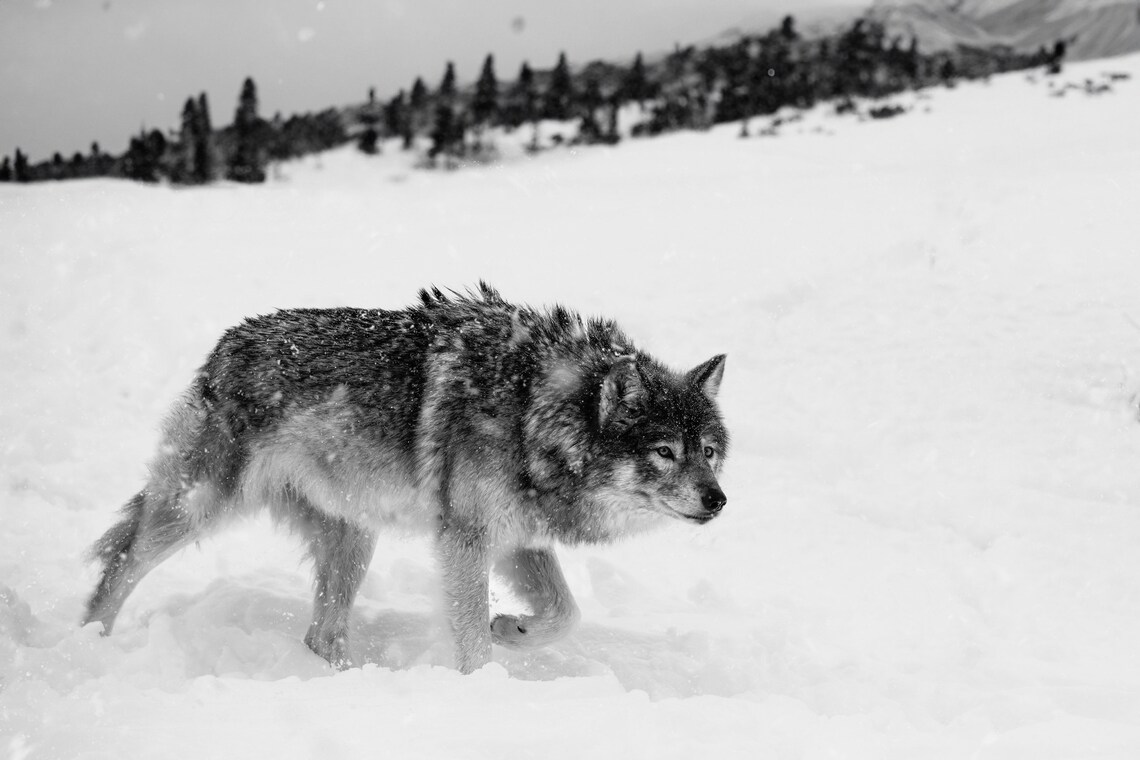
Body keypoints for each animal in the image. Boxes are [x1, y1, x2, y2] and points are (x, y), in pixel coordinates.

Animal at [83, 283, 729, 674]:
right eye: (665, 451)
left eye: (709, 451)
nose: (718, 500)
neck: (534, 411)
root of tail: (220, 350)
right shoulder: (465, 538)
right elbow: (472, 637)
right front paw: (484, 683)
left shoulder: (519, 537)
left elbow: (567, 613)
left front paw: (513, 628)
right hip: (197, 508)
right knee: (118, 565)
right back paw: (88, 646)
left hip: (354, 539)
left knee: (321, 634)